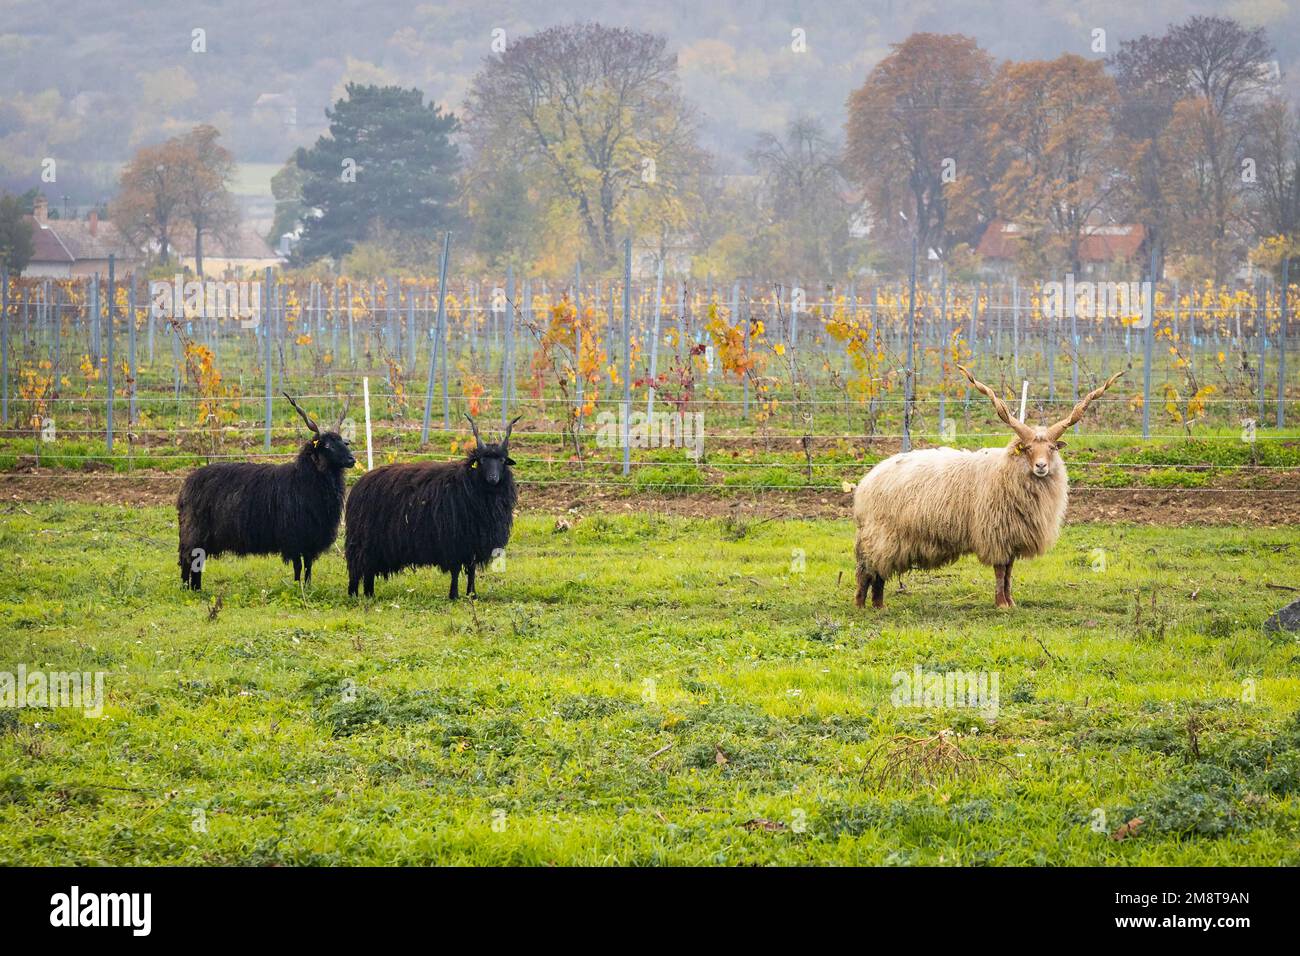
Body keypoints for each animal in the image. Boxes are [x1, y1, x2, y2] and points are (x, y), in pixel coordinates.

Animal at [177, 393, 355, 592]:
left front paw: (308, 587)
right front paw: (297, 587)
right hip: (194, 531)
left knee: (196, 562)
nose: (352, 459)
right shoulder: (293, 537)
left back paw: (197, 589)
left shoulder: (310, 538)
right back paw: (186, 589)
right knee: (188, 560)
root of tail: (186, 484)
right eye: (328, 446)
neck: (303, 479)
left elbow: (308, 566)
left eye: (343, 442)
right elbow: (298, 566)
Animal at [344, 414, 521, 600]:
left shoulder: (472, 541)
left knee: (368, 572)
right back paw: (354, 594)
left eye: (502, 460)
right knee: (356, 568)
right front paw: (454, 595)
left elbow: (471, 569)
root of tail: (359, 484)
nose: (493, 478)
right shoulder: (454, 540)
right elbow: (456, 570)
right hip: (362, 541)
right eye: (482, 460)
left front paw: (472, 594)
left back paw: (369, 594)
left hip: (374, 546)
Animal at [853, 365, 1122, 609]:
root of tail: (866, 483)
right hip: (881, 537)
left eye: (1053, 448)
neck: (1004, 471)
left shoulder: (1012, 536)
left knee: (876, 574)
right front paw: (1001, 604)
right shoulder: (996, 534)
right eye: (1027, 448)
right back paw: (865, 605)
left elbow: (1009, 572)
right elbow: (1000, 572)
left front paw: (1011, 602)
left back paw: (876, 605)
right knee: (868, 572)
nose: (1041, 466)